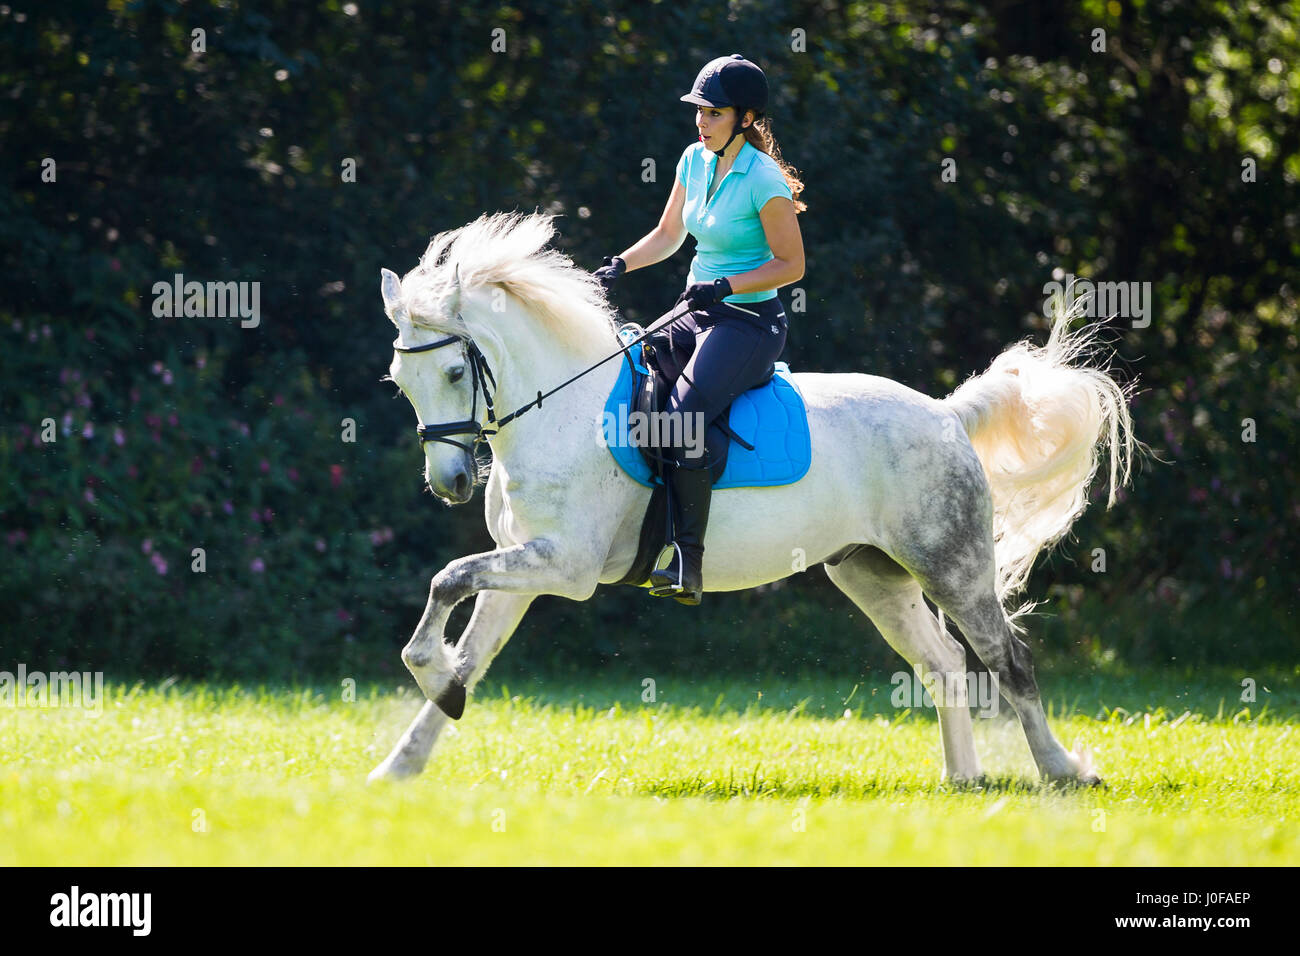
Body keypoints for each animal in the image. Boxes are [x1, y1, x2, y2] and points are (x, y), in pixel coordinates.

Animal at [367, 210, 1135, 787]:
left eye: (456, 370)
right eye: (401, 382)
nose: (449, 483)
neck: (561, 408)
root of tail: (946, 414)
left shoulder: (565, 565)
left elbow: (446, 578)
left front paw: (432, 687)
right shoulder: (523, 564)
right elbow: (468, 646)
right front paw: (411, 748)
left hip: (952, 564)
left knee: (1008, 659)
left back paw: (1062, 771)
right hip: (872, 574)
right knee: (942, 663)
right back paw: (963, 777)